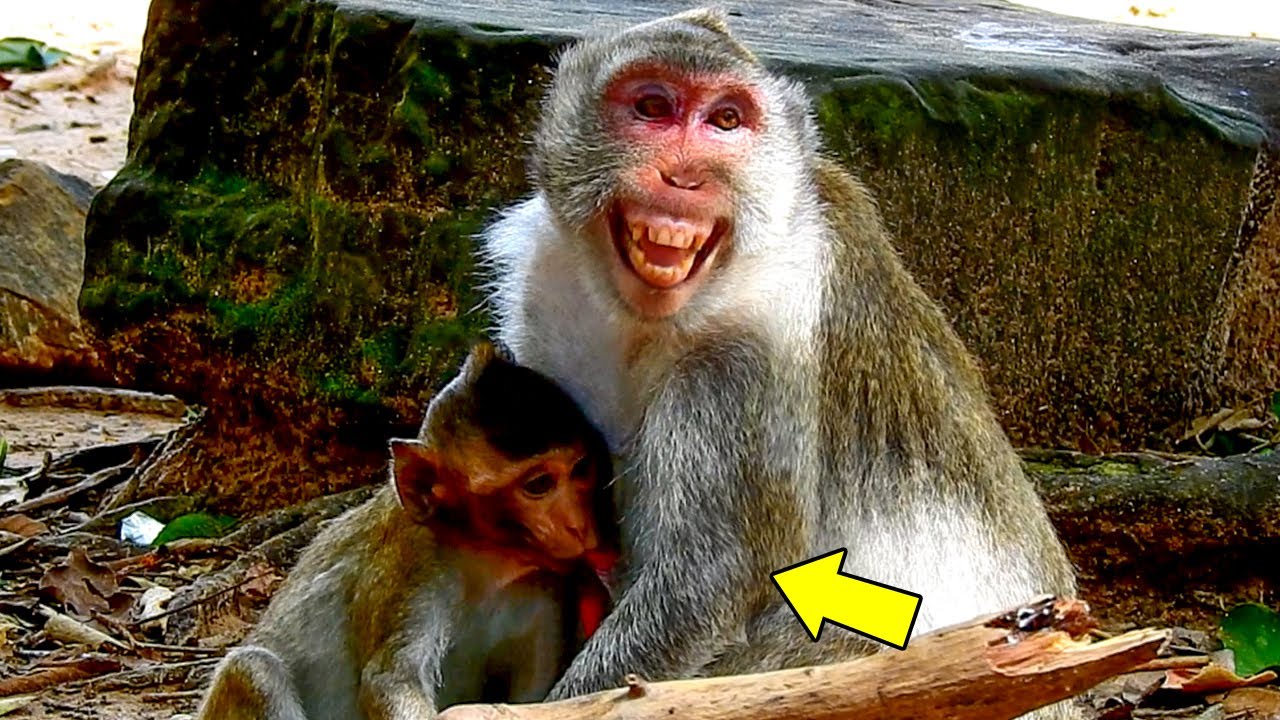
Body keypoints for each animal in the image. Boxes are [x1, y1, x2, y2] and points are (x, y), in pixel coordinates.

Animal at [195, 342, 618, 720]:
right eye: (539, 484)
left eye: (581, 468)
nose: (580, 524)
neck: (486, 560)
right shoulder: (412, 562)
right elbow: (391, 680)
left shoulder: (549, 587)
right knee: (254, 670)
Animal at [480, 8, 1080, 718]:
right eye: (652, 107)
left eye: (726, 121)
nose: (686, 176)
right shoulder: (544, 280)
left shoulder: (753, 347)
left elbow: (706, 583)